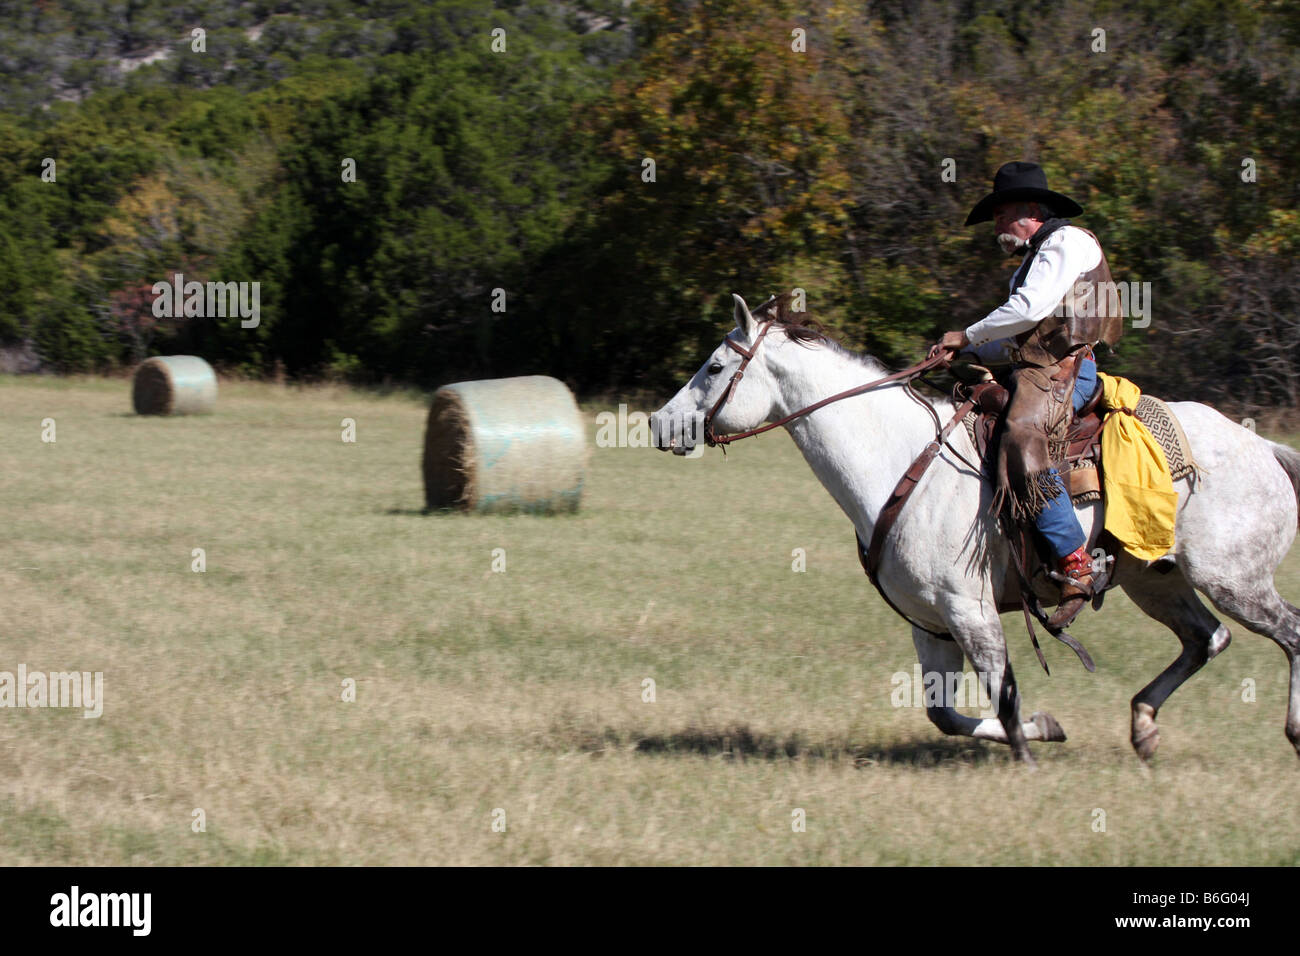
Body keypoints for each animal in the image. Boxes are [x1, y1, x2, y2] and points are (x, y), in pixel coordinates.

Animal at [649, 293, 1300, 766]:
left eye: (714, 366)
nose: (658, 423)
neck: (902, 460)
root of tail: (1264, 448)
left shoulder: (971, 611)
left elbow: (1005, 698)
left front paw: (1029, 756)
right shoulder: (931, 622)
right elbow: (945, 713)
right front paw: (1048, 727)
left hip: (1233, 579)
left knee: (1288, 633)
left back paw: (1289, 731)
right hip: (1158, 580)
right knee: (1206, 639)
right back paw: (1143, 725)